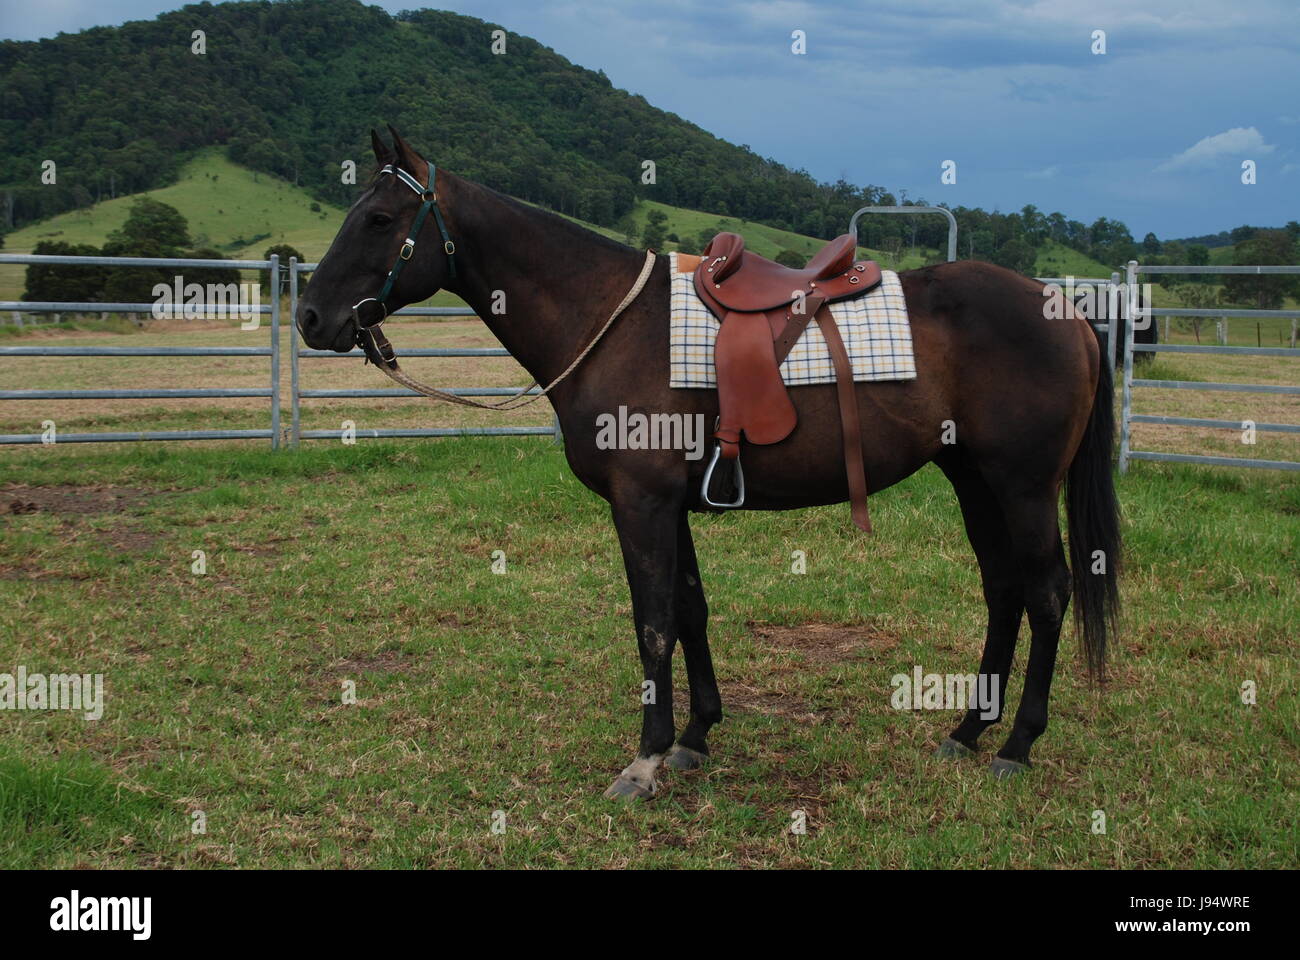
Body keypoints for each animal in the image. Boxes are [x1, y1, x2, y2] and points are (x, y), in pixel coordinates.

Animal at [297, 128, 1121, 799]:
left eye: (379, 220)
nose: (310, 317)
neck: (609, 319)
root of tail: (1070, 312)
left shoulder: (641, 503)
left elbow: (653, 622)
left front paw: (646, 759)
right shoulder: (672, 504)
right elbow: (690, 608)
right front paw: (695, 737)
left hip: (1022, 488)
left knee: (1047, 594)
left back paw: (1016, 746)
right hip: (975, 481)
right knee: (1004, 591)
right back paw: (967, 731)